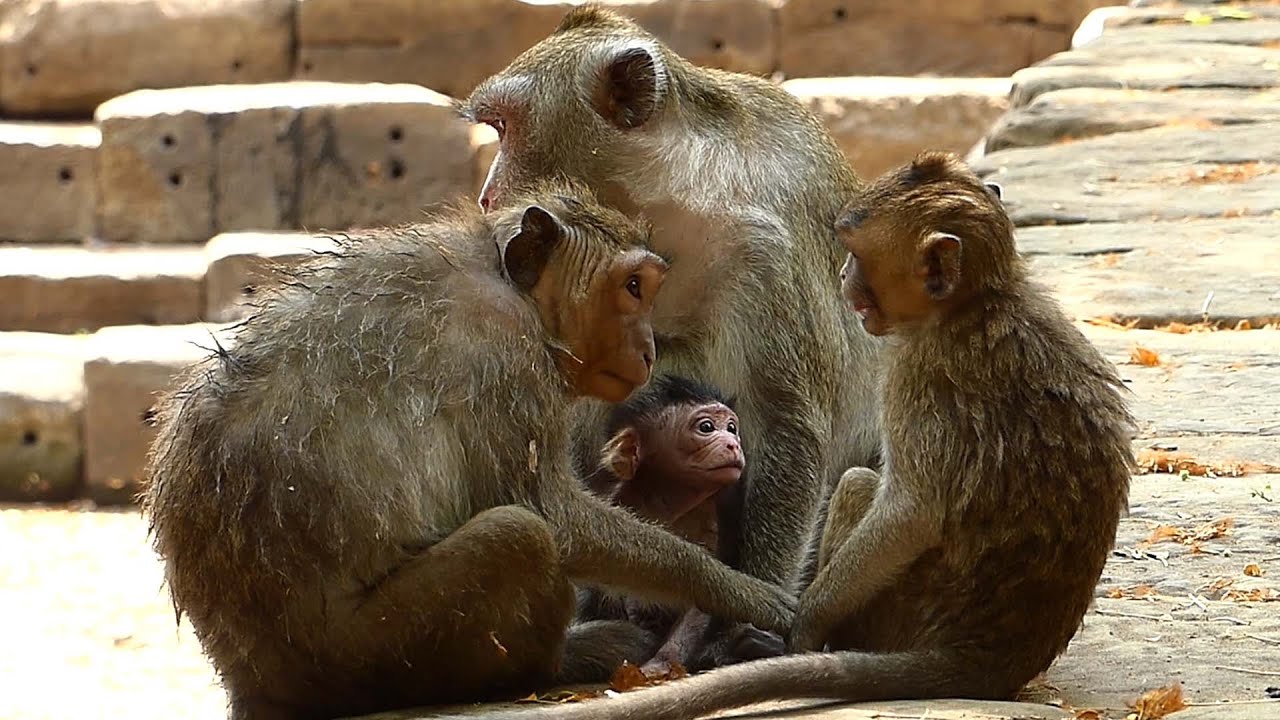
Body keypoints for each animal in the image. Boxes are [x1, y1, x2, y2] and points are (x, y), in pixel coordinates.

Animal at [576, 375, 784, 674]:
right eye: (706, 427)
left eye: (732, 428)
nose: (733, 444)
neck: (668, 499)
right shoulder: (618, 496)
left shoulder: (714, 512)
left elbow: (706, 597)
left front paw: (662, 663)